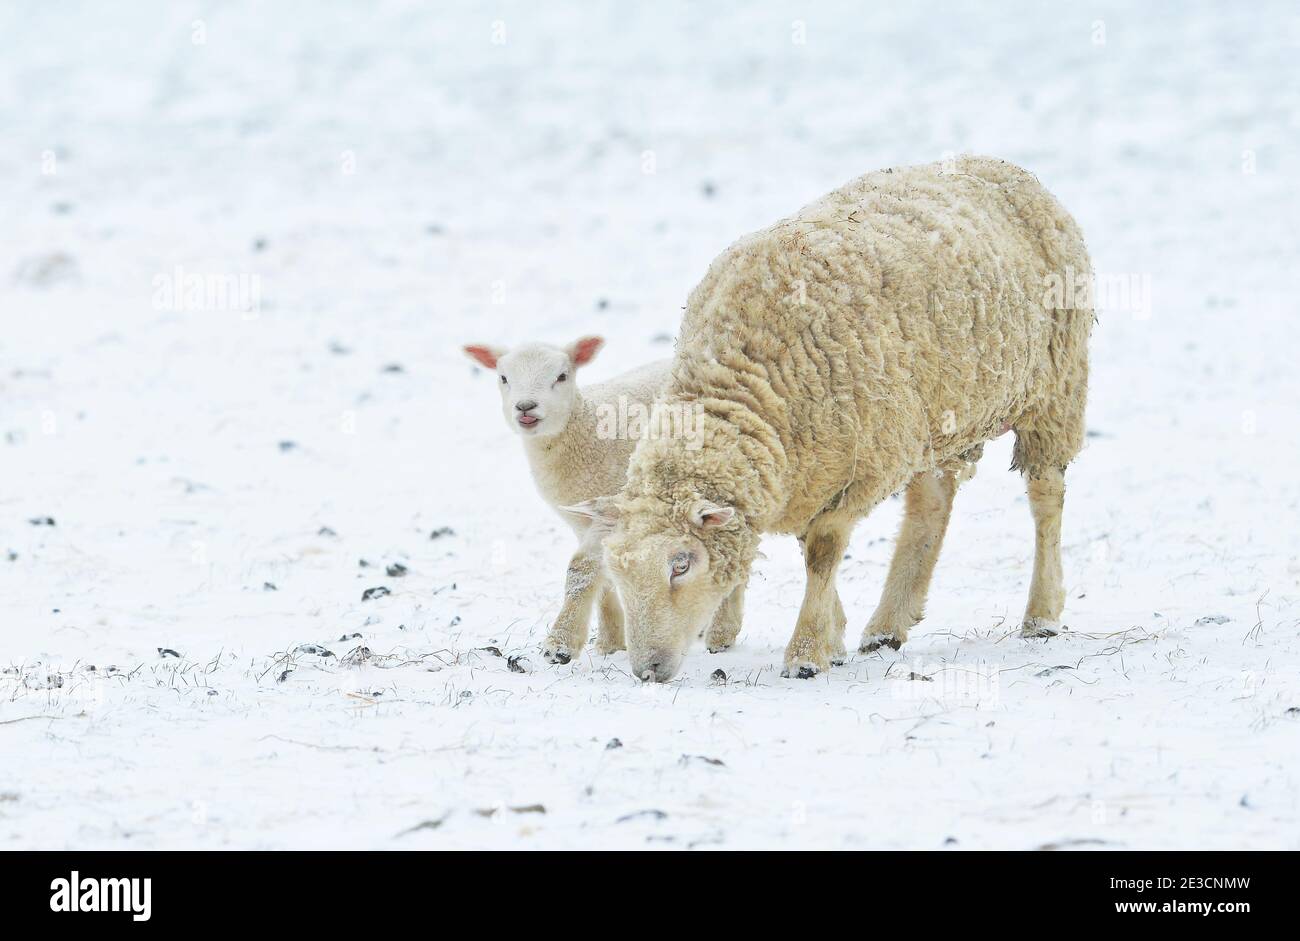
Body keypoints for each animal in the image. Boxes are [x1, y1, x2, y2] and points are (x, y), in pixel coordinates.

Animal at [464, 338, 749, 662]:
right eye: (503, 378)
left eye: (561, 376)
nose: (525, 407)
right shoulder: (585, 520)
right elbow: (601, 578)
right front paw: (610, 643)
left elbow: (584, 569)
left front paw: (562, 644)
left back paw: (721, 633)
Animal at [566, 156, 1093, 682]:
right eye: (618, 571)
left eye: (681, 564)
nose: (648, 671)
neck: (738, 385)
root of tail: (996, 166)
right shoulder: (812, 469)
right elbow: (814, 553)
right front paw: (834, 636)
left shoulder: (862, 465)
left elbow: (822, 552)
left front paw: (806, 652)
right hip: (936, 415)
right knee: (931, 505)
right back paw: (887, 626)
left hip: (1055, 391)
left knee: (1046, 498)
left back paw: (1041, 616)